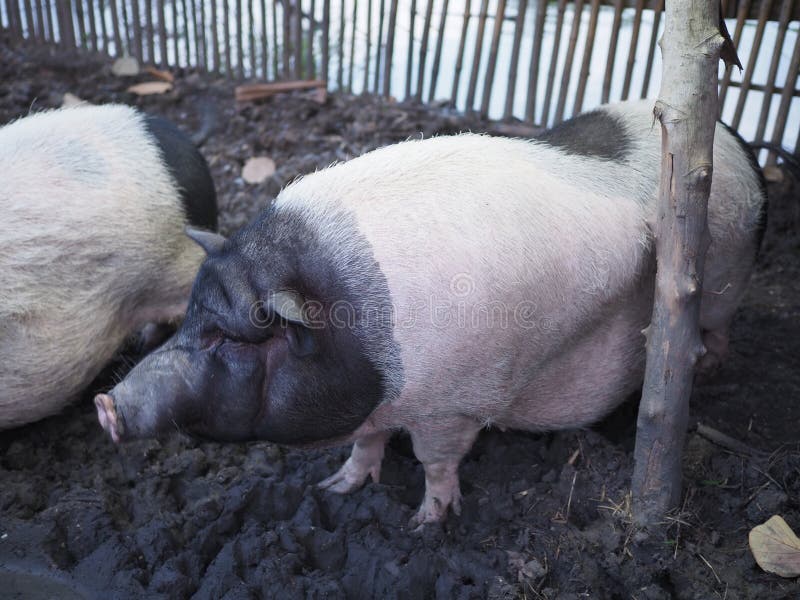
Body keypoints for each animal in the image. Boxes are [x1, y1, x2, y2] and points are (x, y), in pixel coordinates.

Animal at [95, 100, 765, 526]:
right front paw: (337, 488)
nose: (106, 405)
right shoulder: (378, 404)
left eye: (232, 340)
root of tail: (736, 142)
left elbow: (433, 463)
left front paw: (426, 524)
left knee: (719, 327)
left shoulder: (453, 402)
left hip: (724, 276)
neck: (368, 346)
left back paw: (709, 370)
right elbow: (366, 444)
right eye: (190, 319)